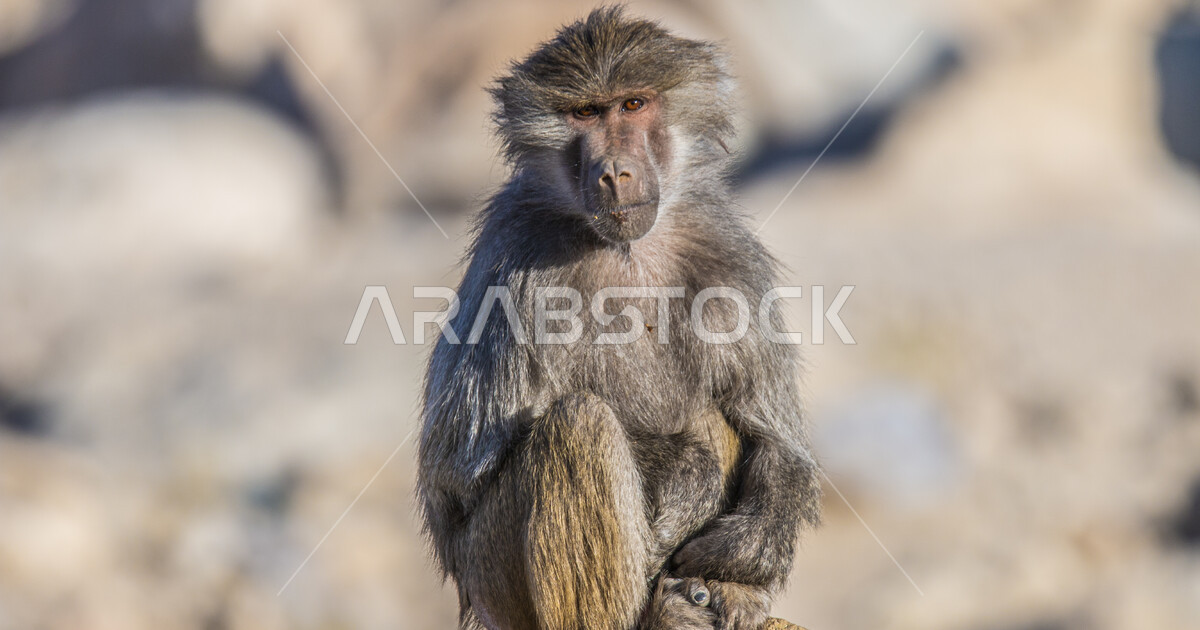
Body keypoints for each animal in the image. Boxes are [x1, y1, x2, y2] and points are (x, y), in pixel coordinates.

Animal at [417, 7, 821, 630]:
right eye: (585, 112)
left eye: (633, 104)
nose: (614, 174)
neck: (628, 250)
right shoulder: (515, 263)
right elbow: (459, 477)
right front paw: (689, 472)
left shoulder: (730, 256)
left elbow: (775, 437)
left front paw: (745, 554)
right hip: (491, 576)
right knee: (577, 424)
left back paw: (710, 595)